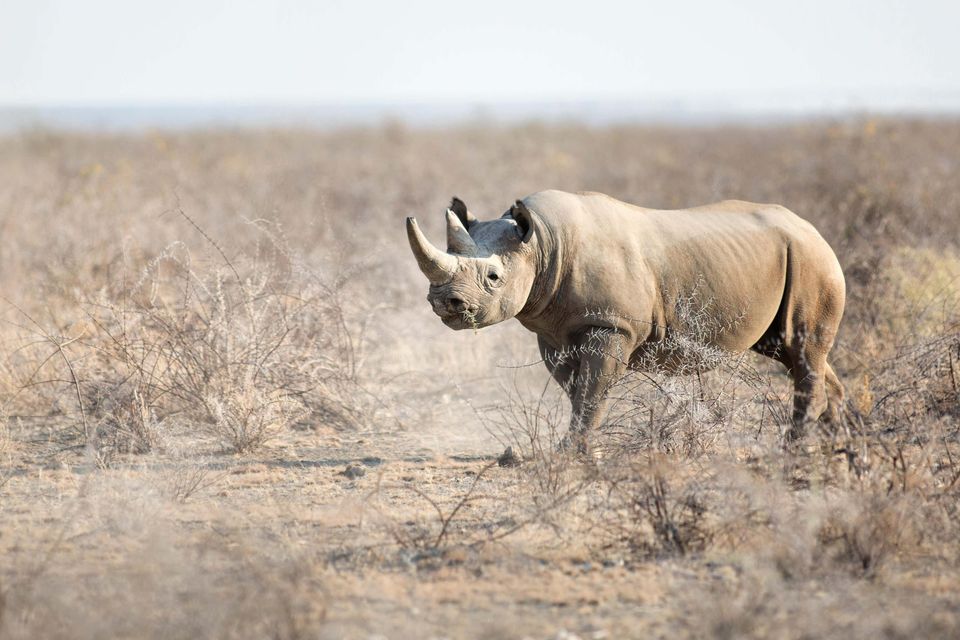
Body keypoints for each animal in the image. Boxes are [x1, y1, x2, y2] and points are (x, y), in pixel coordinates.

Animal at [406, 190, 846, 453]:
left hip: (811, 259)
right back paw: (836, 436)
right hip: (792, 256)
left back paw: (794, 449)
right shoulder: (554, 332)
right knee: (796, 353)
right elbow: (577, 389)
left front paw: (574, 453)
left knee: (802, 348)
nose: (445, 303)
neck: (543, 243)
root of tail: (813, 229)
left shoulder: (611, 325)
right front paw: (581, 448)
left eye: (494, 277)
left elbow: (593, 389)